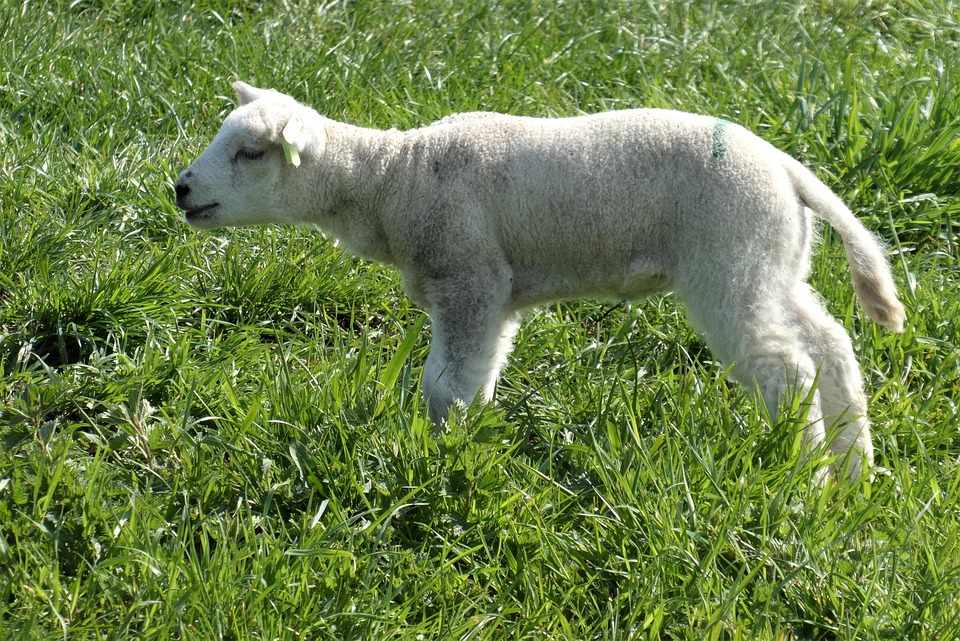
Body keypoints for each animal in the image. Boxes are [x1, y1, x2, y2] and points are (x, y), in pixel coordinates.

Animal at [174, 81, 905, 481]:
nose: (178, 188)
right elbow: (476, 378)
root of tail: (787, 167)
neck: (390, 180)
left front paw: (439, 455)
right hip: (774, 261)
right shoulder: (493, 296)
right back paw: (854, 471)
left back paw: (804, 476)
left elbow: (445, 383)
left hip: (730, 258)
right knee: (832, 344)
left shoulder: (467, 278)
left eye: (250, 152)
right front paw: (464, 443)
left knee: (786, 365)